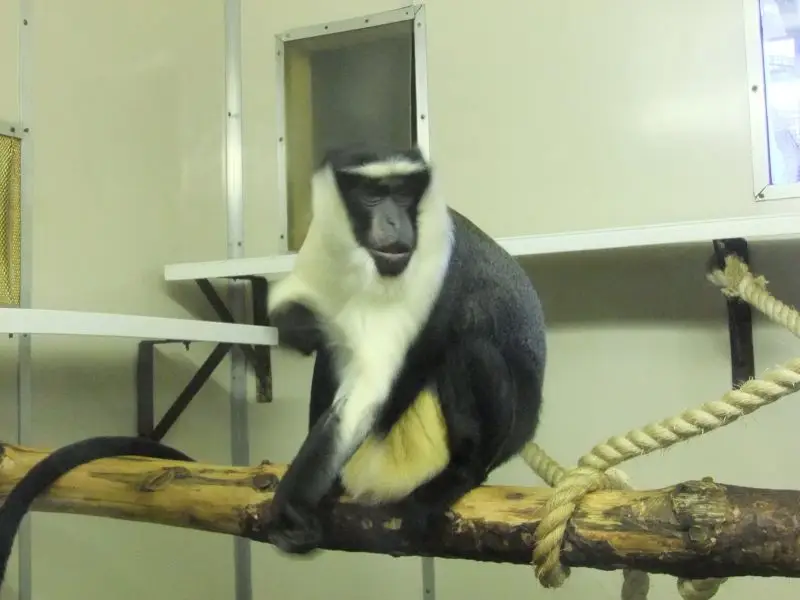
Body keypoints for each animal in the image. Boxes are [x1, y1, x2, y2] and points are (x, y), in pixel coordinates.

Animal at [264, 143, 547, 555]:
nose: (394, 222)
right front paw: (299, 326)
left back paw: (460, 474)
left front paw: (292, 505)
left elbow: (371, 387)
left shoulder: (431, 260)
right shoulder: (324, 236)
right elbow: (297, 300)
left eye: (402, 194)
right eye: (371, 195)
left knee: (471, 345)